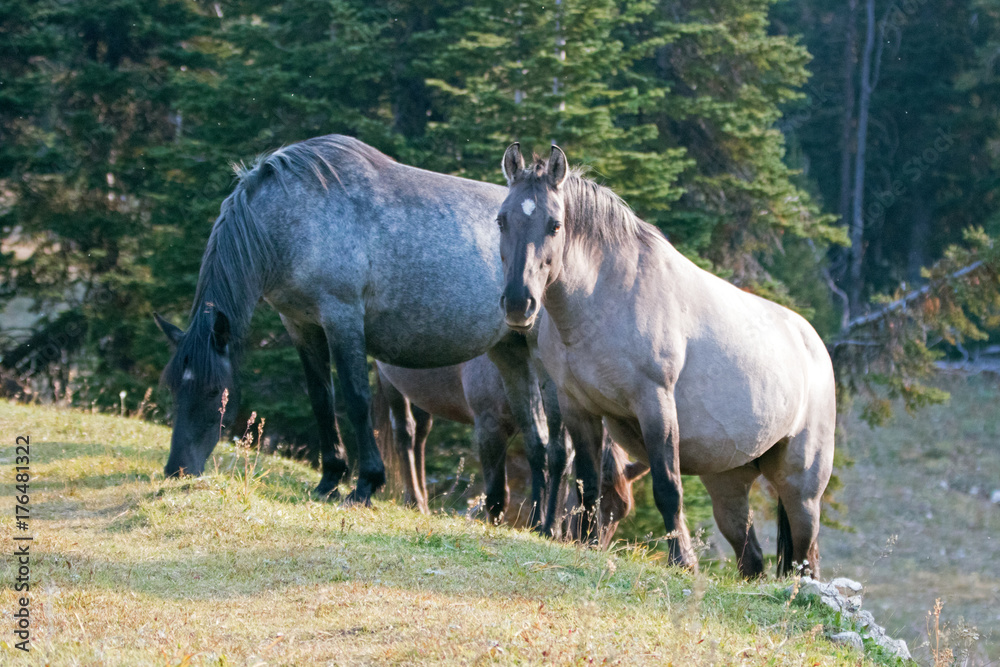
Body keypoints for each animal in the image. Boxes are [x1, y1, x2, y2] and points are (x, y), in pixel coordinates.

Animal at [152, 134, 568, 530]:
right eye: (173, 387)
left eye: (215, 391)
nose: (177, 469)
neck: (296, 214)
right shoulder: (301, 325)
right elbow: (321, 398)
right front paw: (329, 480)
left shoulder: (343, 319)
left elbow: (355, 398)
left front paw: (365, 484)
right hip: (509, 351)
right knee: (536, 439)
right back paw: (533, 522)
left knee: (554, 444)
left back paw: (548, 525)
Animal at [372, 355, 648, 536]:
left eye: (621, 511)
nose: (590, 543)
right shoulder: (489, 425)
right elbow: (497, 493)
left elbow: (552, 458)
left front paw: (545, 526)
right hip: (389, 380)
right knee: (405, 433)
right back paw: (415, 501)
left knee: (421, 432)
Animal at [495, 143, 836, 577]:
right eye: (502, 220)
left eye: (555, 225)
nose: (518, 304)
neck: (606, 297)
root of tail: (815, 345)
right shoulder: (578, 407)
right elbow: (587, 484)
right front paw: (587, 543)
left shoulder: (655, 403)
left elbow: (667, 487)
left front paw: (683, 561)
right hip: (729, 485)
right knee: (752, 559)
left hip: (801, 489)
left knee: (803, 557)